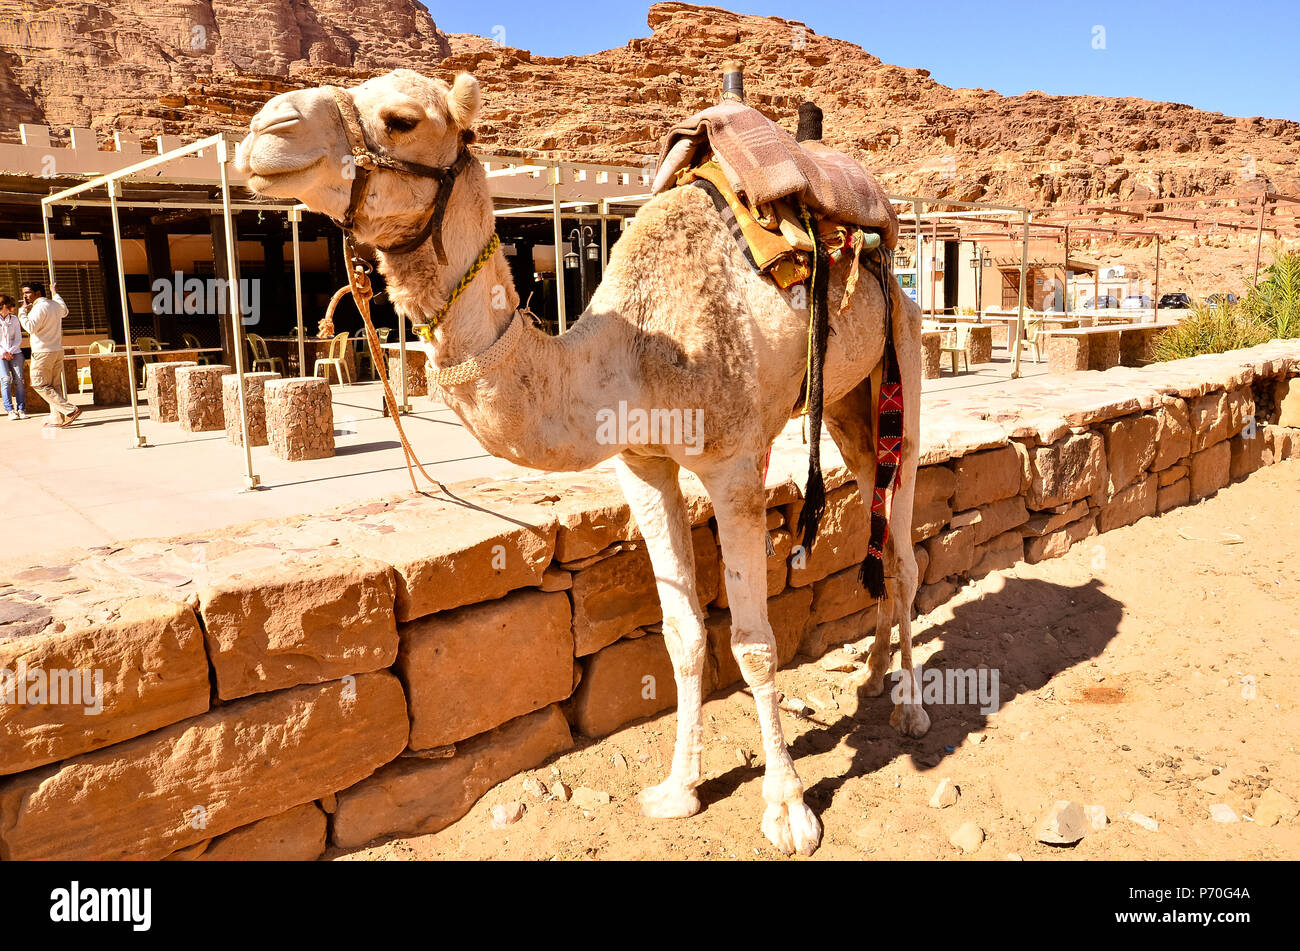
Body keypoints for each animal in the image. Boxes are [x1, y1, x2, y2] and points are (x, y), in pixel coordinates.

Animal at [237, 68, 928, 857]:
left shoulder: (732, 464)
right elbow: (683, 634)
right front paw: (678, 789)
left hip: (902, 354)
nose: (265, 131)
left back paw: (911, 711)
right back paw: (871, 677)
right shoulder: (641, 465)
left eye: (402, 119)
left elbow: (754, 642)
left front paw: (787, 810)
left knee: (903, 547)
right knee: (874, 506)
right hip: (842, 401)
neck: (631, 354)